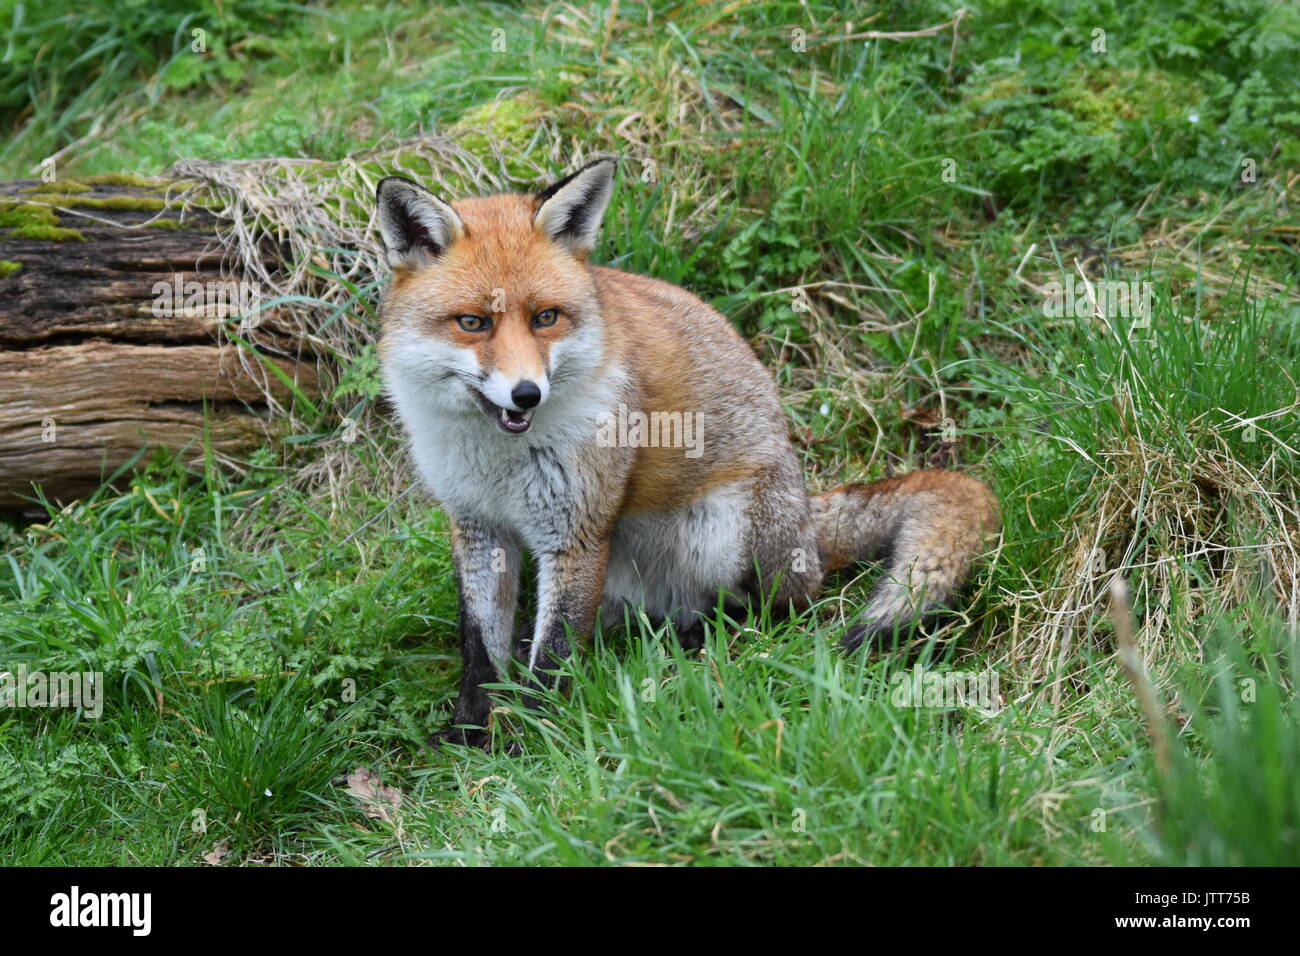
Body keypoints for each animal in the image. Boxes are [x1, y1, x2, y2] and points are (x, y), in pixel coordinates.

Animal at [374, 158, 999, 748]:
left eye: (545, 317)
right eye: (473, 323)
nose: (528, 393)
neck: (496, 457)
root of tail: (807, 519)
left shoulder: (576, 530)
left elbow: (553, 657)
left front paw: (532, 737)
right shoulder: (476, 523)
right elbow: (479, 645)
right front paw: (468, 730)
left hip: (723, 530)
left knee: (779, 608)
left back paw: (706, 642)